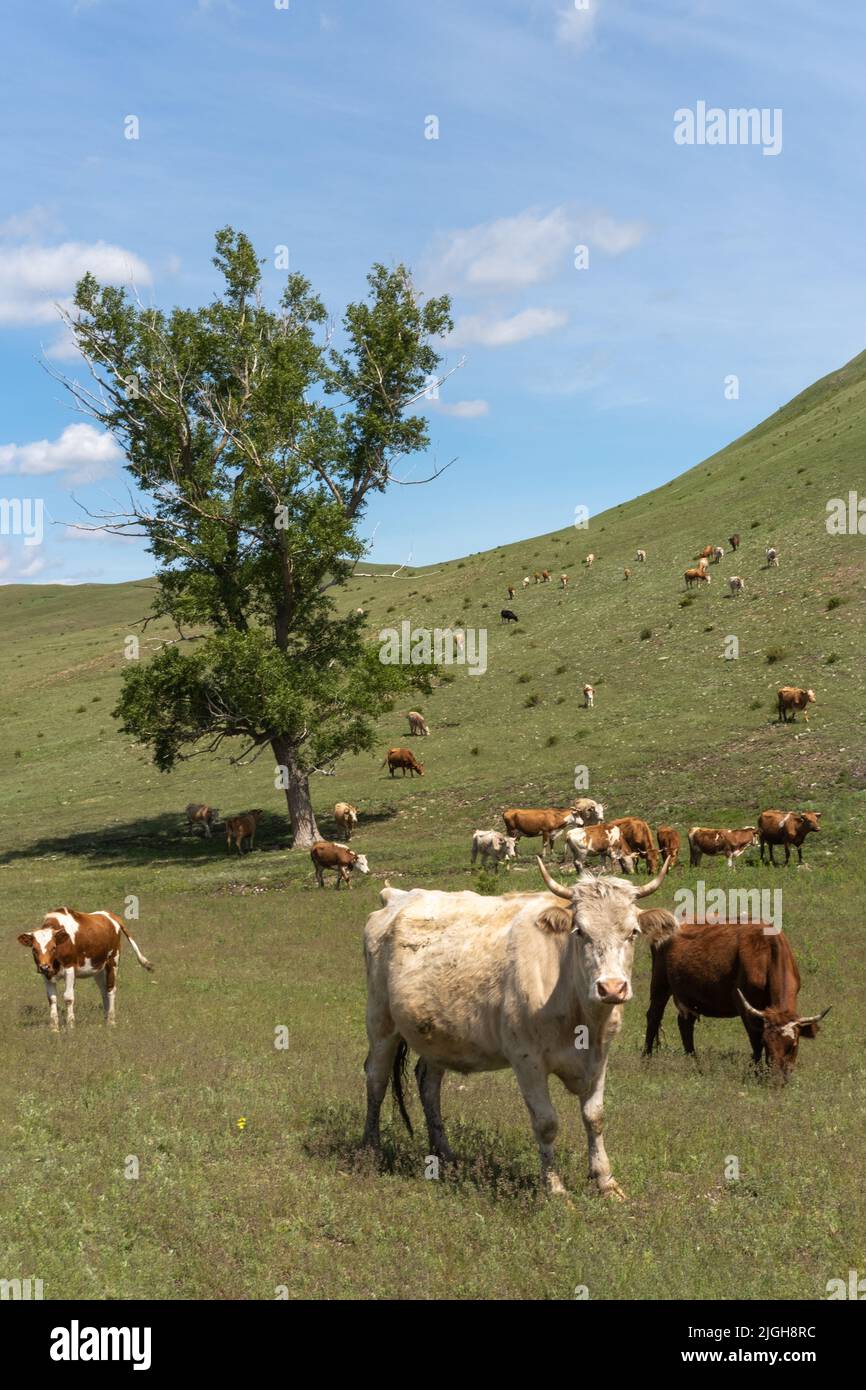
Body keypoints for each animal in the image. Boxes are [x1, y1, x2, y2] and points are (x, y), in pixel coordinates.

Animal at [18, 908, 154, 1032]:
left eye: (53, 947)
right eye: (34, 949)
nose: (44, 966)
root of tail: (109, 914)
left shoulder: (70, 969)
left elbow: (68, 997)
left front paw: (70, 1025)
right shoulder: (47, 975)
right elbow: (52, 998)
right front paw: (54, 1028)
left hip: (113, 961)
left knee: (111, 989)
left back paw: (111, 1021)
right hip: (98, 969)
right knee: (104, 990)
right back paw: (105, 1018)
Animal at [361, 855, 672, 1196]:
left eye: (633, 932)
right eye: (580, 931)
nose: (612, 988)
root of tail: (395, 895)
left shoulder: (600, 1056)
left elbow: (595, 1117)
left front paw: (606, 1182)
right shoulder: (527, 1060)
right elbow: (546, 1123)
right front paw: (555, 1188)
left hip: (436, 1035)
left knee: (429, 1085)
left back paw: (444, 1154)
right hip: (380, 1022)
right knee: (376, 1079)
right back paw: (371, 1151)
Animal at [642, 918, 828, 1080]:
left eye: (793, 1045)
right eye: (767, 1043)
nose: (777, 1079)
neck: (768, 951)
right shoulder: (745, 1007)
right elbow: (755, 1041)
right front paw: (756, 1073)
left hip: (688, 996)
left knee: (685, 1025)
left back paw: (694, 1063)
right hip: (660, 983)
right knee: (653, 1016)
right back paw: (646, 1058)